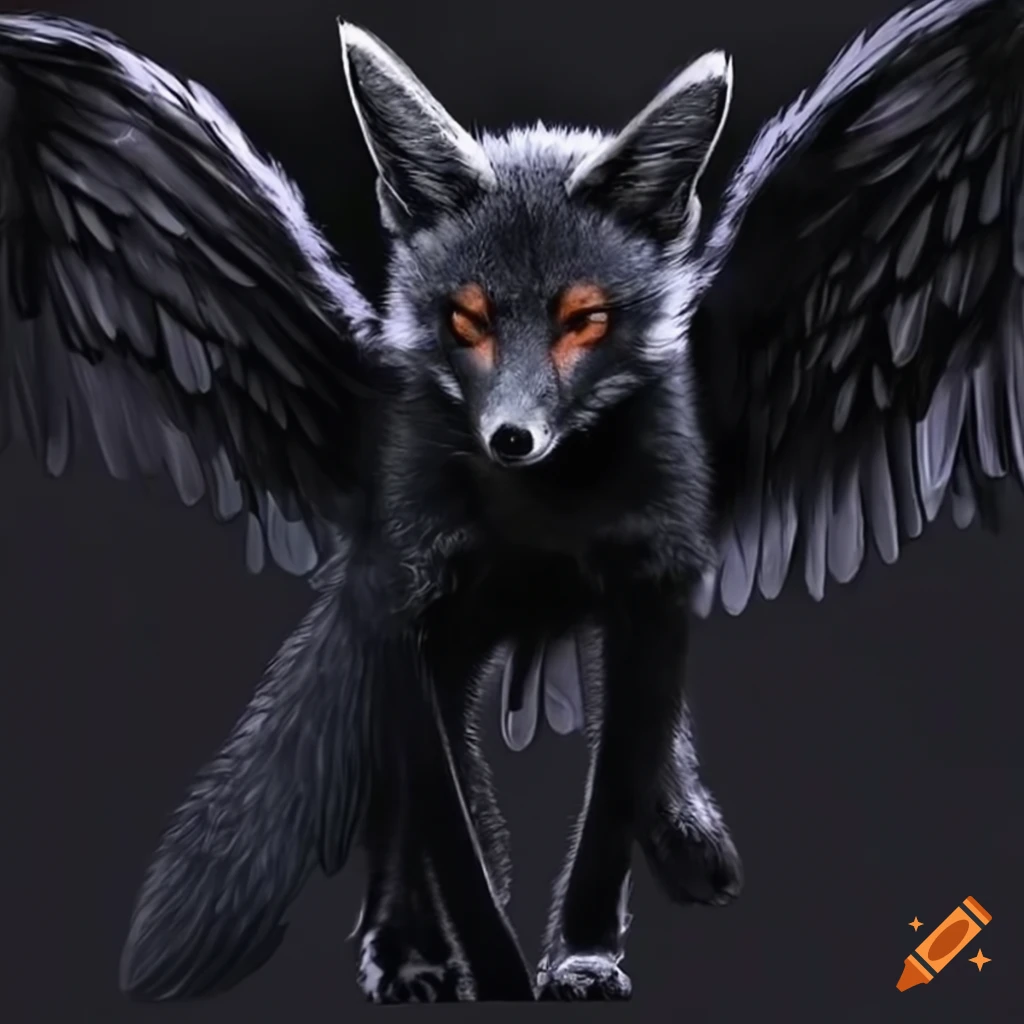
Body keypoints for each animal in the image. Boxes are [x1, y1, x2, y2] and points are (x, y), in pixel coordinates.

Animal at [2, 0, 1023, 1004]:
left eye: (585, 320)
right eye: (466, 319)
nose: (511, 441)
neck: (546, 516)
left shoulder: (648, 594)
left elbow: (610, 802)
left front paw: (582, 955)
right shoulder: (411, 615)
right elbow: (450, 840)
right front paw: (483, 968)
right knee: (408, 814)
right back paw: (408, 950)